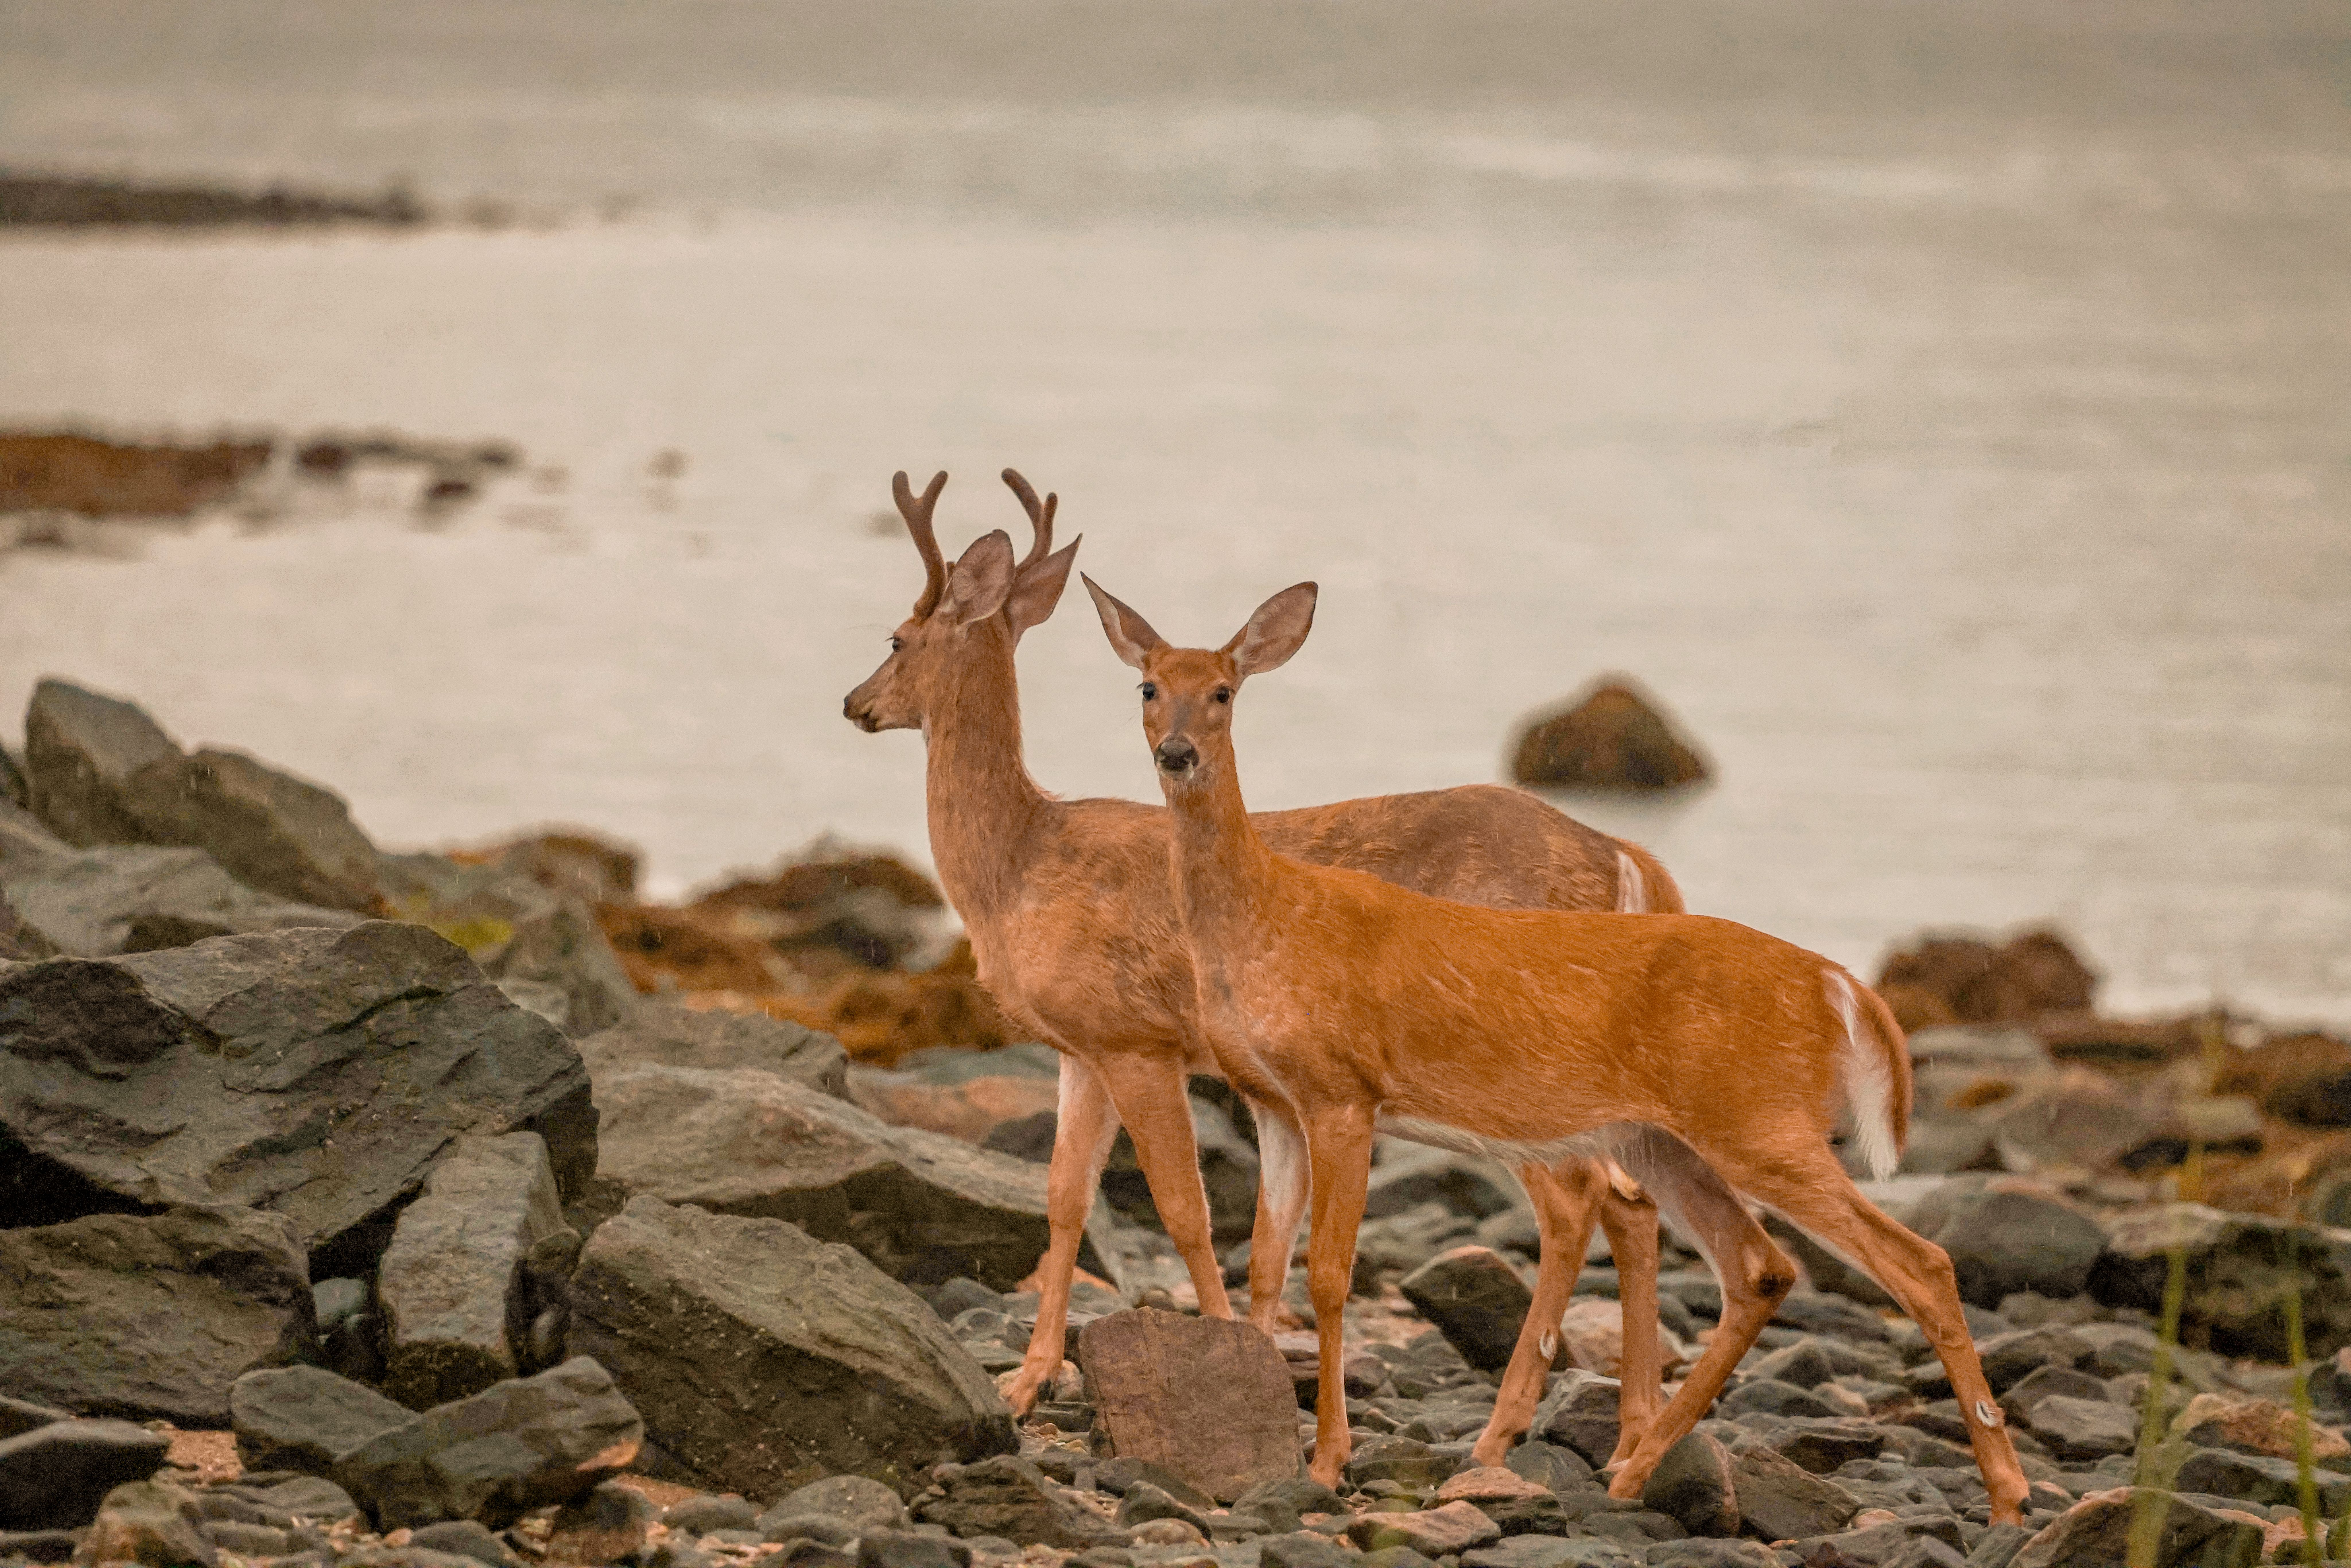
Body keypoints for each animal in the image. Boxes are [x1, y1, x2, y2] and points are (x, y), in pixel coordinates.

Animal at [842, 469, 1684, 1447]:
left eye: (896, 638)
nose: (854, 703)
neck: (1020, 863)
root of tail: (1620, 855)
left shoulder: (1137, 1039)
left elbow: (1186, 1213)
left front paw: (1215, 1361)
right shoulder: (1080, 1048)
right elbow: (1064, 1200)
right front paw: (1028, 1383)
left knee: (1577, 1203)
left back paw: (1510, 1432)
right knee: (1632, 1201)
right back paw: (1635, 1425)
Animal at [1082, 574, 2034, 1526]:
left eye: (1223, 692)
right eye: (1148, 686)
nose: (1177, 753)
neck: (1265, 916)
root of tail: (1837, 981)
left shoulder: (1343, 1092)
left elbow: (1327, 1273)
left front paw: (1325, 1462)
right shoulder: (1271, 1101)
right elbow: (1264, 1266)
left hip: (1760, 1122)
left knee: (1919, 1261)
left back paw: (2008, 1496)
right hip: (1667, 1138)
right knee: (1758, 1267)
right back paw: (1633, 1468)